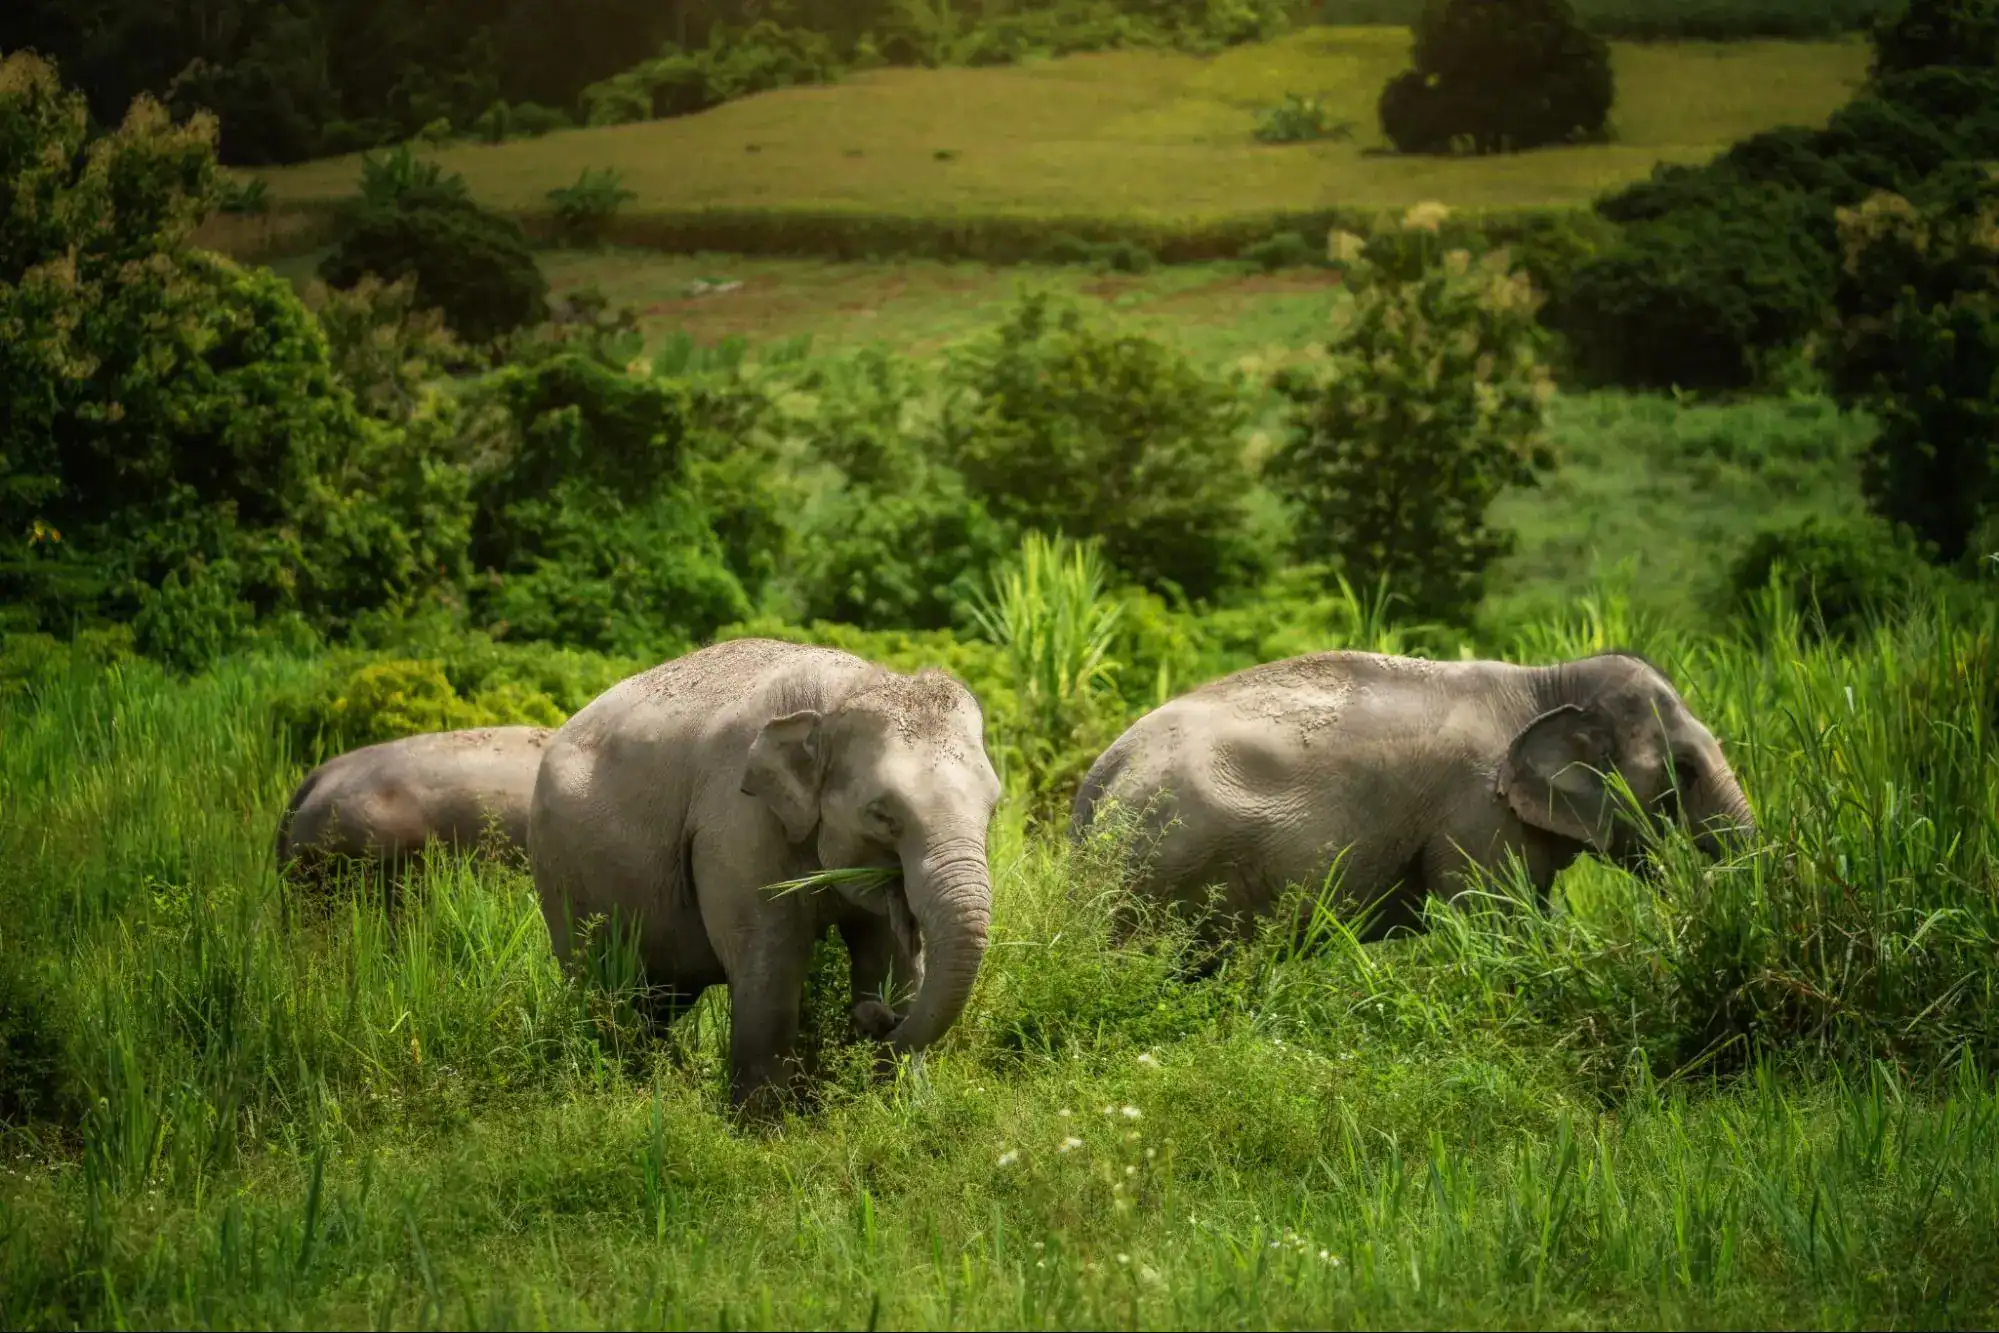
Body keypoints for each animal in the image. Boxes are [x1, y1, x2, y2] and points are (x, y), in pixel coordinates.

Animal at [529, 638, 1003, 1113]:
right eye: (882, 815)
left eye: (993, 808)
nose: (878, 1020)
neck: (842, 693)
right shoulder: (736, 825)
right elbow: (771, 965)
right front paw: (763, 1125)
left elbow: (889, 959)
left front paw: (895, 1106)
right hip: (561, 872)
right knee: (604, 985)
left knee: (657, 999)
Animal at [1070, 649, 1756, 955]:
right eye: (1682, 771)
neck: (1545, 680)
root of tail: (1097, 778)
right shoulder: (1477, 812)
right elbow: (1494, 922)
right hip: (1164, 863)